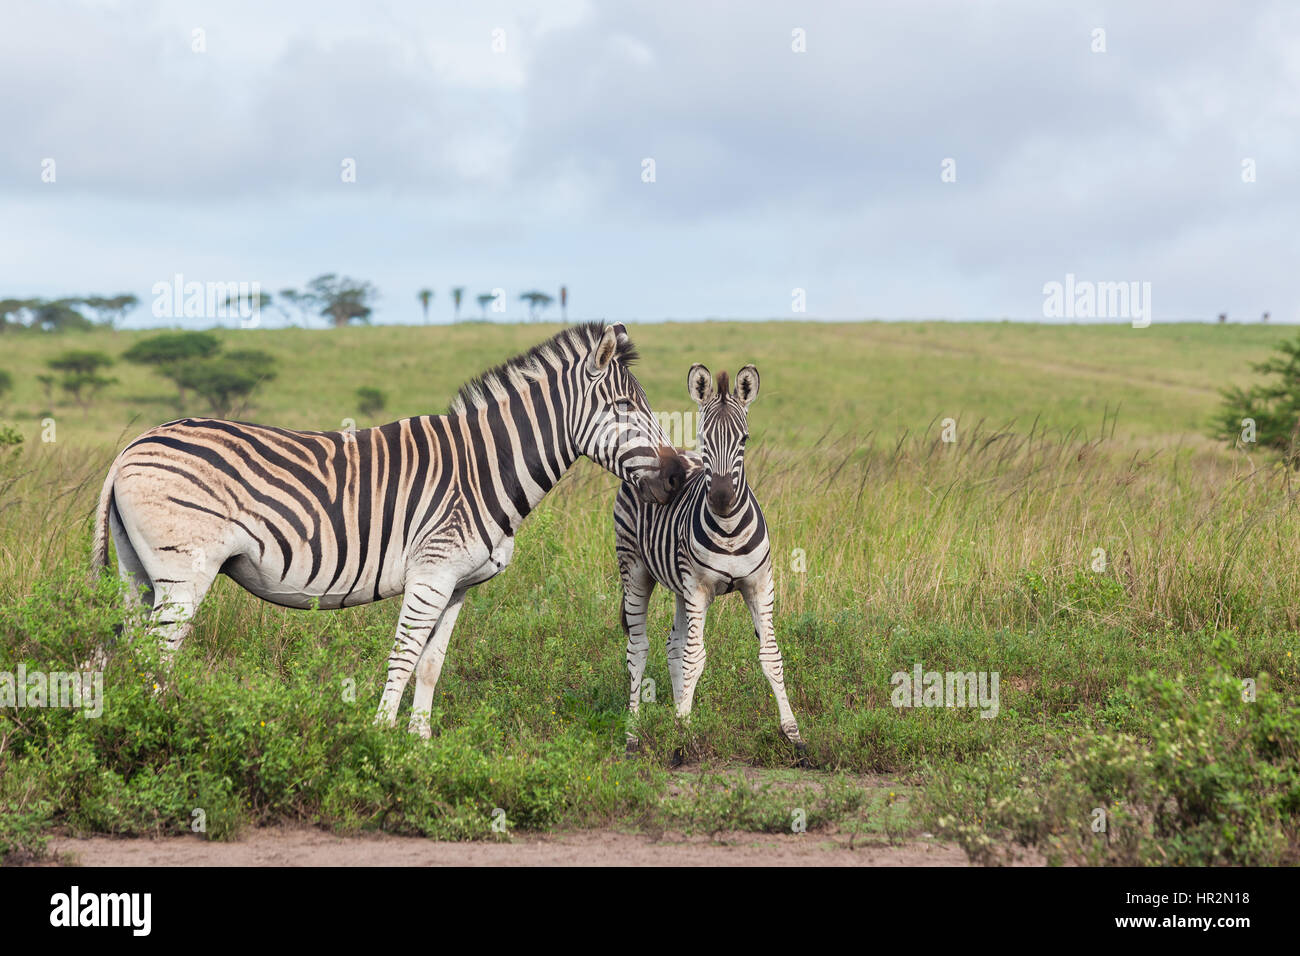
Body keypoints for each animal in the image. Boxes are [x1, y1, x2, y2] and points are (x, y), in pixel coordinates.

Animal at [92, 322, 687, 734]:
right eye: (625, 406)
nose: (680, 476)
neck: (484, 468)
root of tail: (130, 447)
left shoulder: (457, 585)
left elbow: (430, 667)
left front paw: (420, 749)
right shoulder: (430, 574)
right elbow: (402, 660)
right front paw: (380, 742)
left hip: (136, 571)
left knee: (129, 647)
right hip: (184, 571)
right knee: (157, 653)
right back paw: (160, 735)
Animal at [614, 362, 805, 759]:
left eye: (744, 440)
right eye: (704, 439)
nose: (720, 497)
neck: (729, 530)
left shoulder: (759, 584)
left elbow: (771, 656)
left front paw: (794, 735)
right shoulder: (698, 589)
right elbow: (694, 659)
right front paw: (682, 739)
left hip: (677, 585)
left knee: (672, 647)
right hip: (635, 569)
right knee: (638, 650)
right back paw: (633, 734)